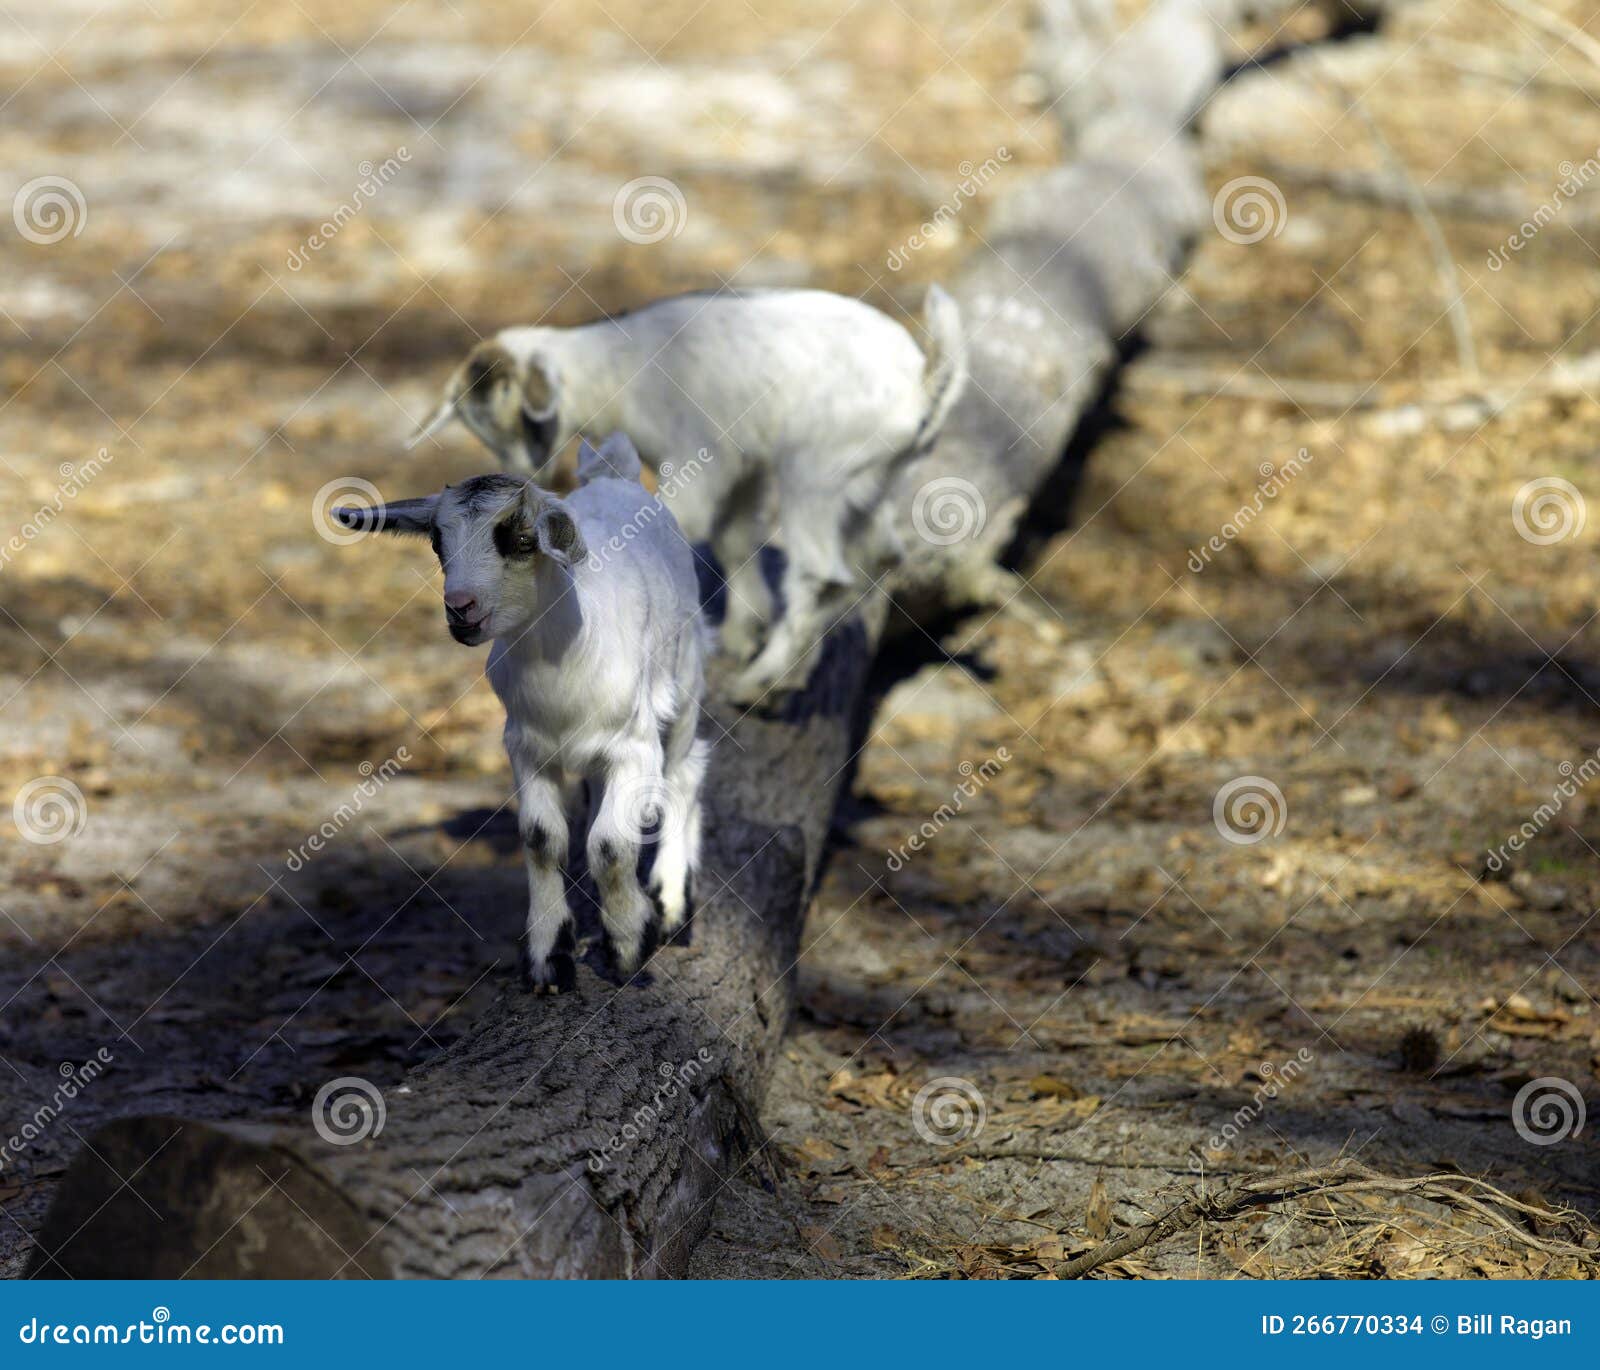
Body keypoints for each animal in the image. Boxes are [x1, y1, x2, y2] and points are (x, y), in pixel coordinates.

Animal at [334, 433, 709, 991]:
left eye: (524, 539)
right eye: (437, 542)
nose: (460, 608)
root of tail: (613, 477)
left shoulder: (633, 745)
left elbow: (610, 845)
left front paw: (627, 945)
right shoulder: (526, 745)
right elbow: (541, 838)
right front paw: (549, 956)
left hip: (683, 685)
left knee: (684, 775)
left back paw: (670, 903)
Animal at [408, 285, 967, 704]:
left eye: (518, 409)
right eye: (481, 429)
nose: (529, 469)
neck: (614, 369)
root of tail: (923, 386)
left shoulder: (701, 454)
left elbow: (686, 518)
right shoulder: (741, 466)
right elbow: (735, 537)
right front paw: (741, 633)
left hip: (814, 467)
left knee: (822, 574)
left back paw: (758, 684)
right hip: (868, 476)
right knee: (879, 556)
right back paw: (790, 674)